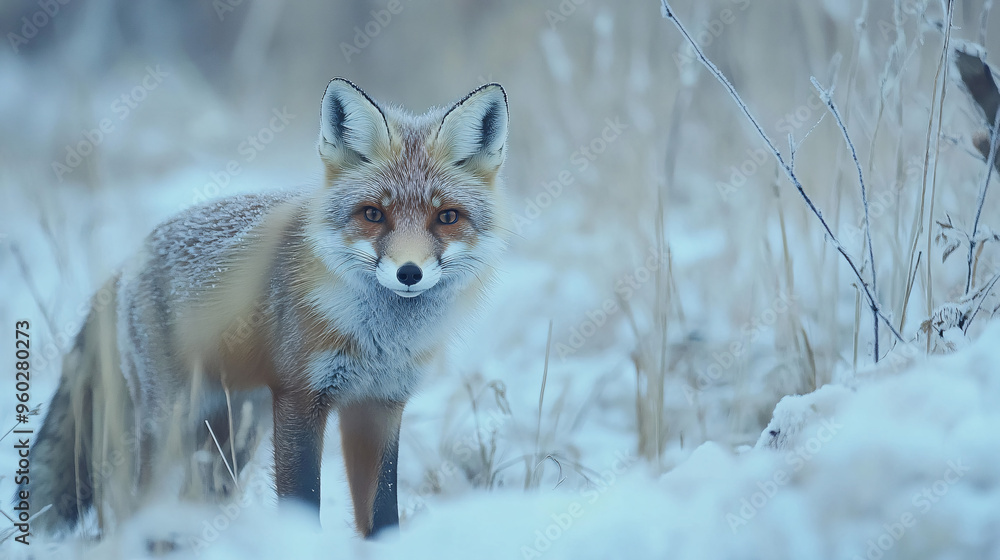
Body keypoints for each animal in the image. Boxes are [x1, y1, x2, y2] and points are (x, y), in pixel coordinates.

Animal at [21, 78, 510, 540]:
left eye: (446, 217)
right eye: (373, 214)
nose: (409, 273)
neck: (380, 339)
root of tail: (128, 262)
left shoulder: (380, 404)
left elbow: (382, 514)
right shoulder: (300, 397)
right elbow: (303, 503)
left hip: (232, 437)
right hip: (170, 424)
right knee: (137, 505)